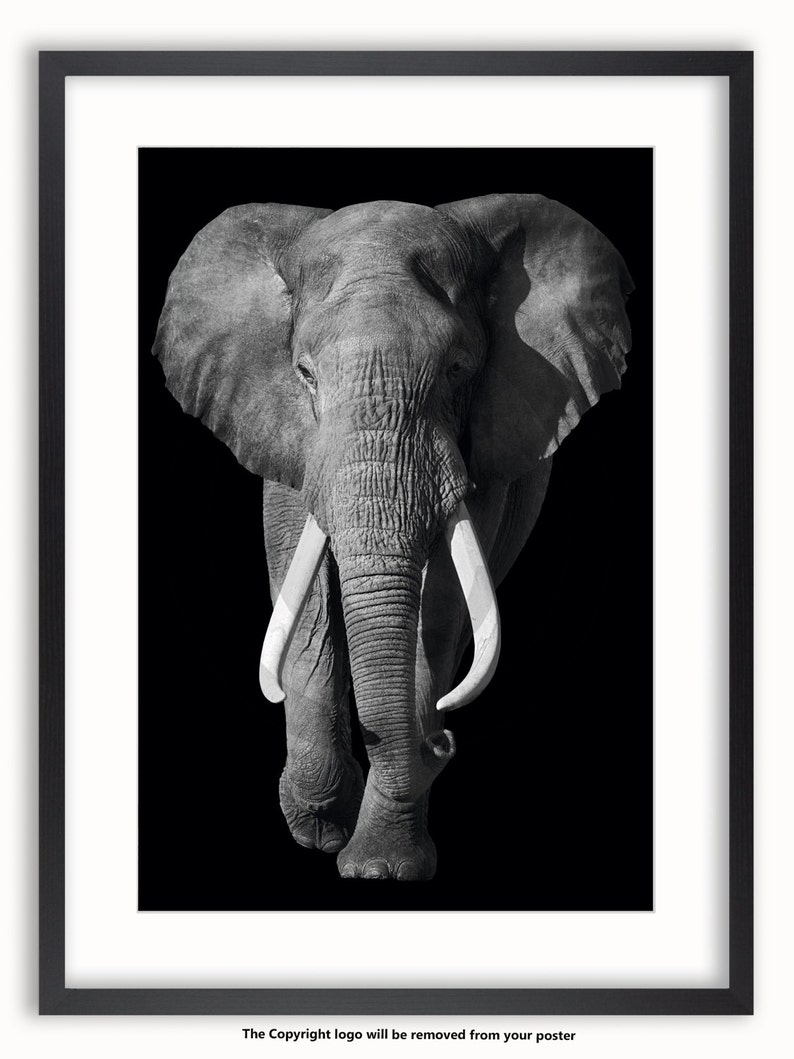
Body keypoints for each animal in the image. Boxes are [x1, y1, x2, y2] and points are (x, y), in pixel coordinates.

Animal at [152, 193, 633, 882]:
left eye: (458, 369)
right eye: (305, 374)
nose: (443, 741)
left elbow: (441, 606)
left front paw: (381, 866)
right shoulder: (287, 436)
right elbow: (304, 593)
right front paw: (323, 825)